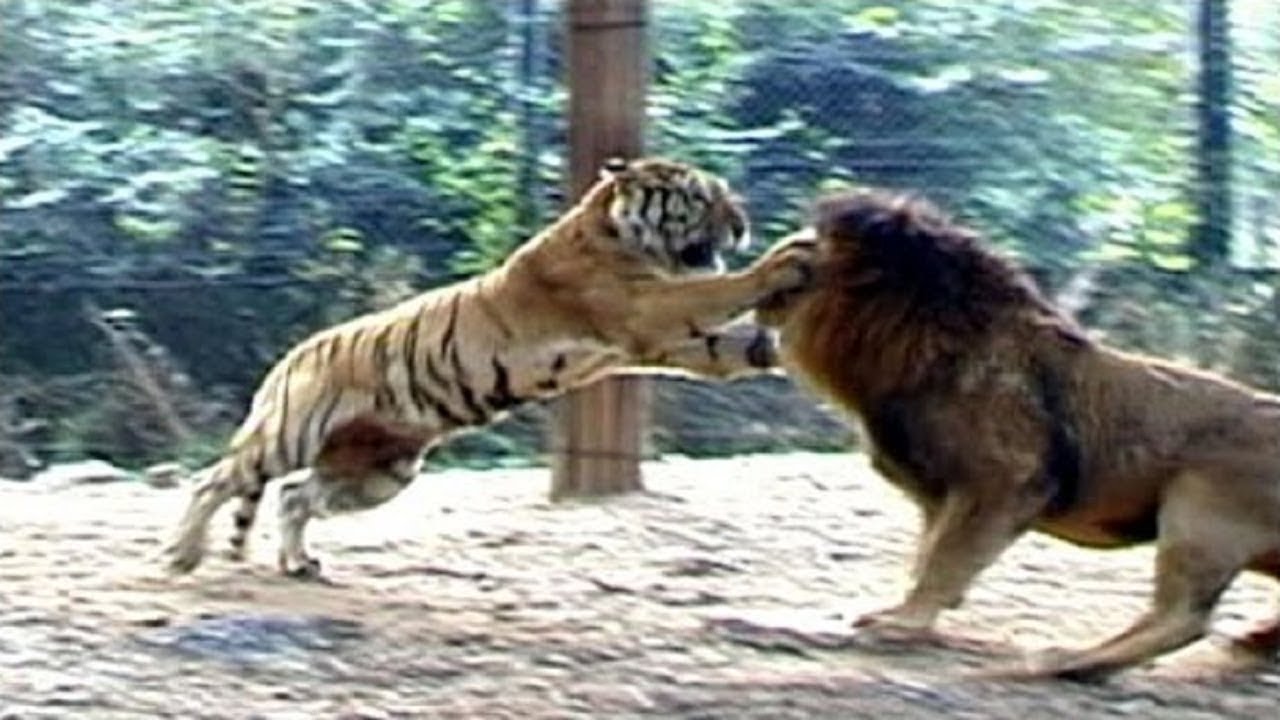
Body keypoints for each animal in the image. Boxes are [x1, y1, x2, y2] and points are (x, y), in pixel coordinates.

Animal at [162, 157, 815, 579]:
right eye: (702, 198)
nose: (741, 223)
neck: (613, 229)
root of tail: (288, 357)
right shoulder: (645, 310)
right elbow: (721, 287)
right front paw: (784, 261)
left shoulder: (666, 341)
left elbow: (733, 344)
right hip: (290, 434)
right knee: (214, 480)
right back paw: (183, 554)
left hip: (380, 471)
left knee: (295, 496)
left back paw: (298, 562)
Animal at [753, 189, 1280, 681]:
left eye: (808, 244)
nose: (776, 250)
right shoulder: (940, 494)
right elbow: (928, 555)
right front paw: (907, 614)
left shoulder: (1007, 478)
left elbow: (946, 559)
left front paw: (901, 625)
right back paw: (1252, 643)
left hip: (1197, 509)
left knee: (1182, 618)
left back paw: (1067, 661)